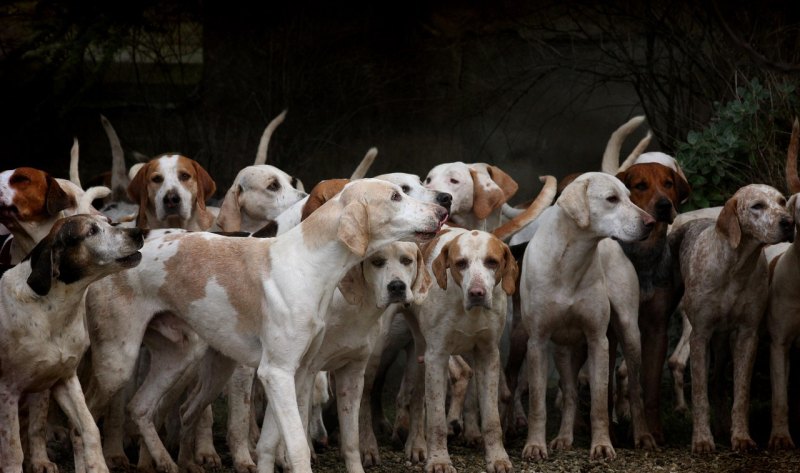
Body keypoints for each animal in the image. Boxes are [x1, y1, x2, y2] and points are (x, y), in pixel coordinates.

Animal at [86, 179, 450, 470]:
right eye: (396, 196)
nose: (442, 210)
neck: (309, 264)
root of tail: (120, 253)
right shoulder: (277, 373)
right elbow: (297, 446)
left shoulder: (295, 373)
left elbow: (267, 445)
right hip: (117, 364)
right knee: (86, 417)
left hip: (180, 358)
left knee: (141, 408)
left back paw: (167, 462)